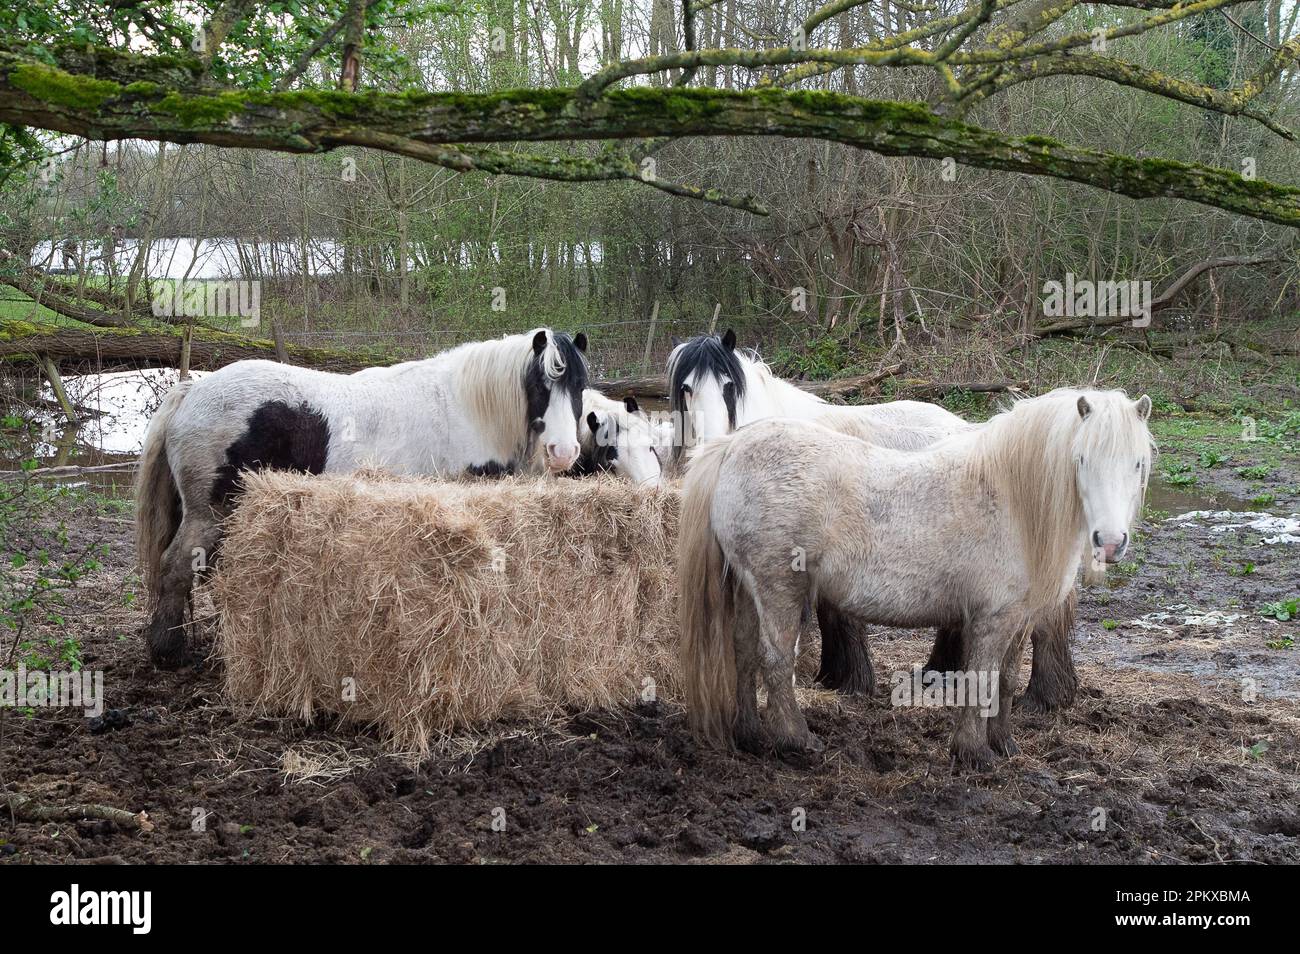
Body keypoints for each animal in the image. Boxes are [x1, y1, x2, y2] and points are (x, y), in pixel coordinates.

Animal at [136, 328, 588, 668]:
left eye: (580, 386)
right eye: (539, 385)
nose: (563, 452)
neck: (466, 409)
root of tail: (190, 393)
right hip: (207, 514)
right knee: (176, 567)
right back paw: (168, 650)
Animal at [666, 329, 1085, 713]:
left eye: (728, 387)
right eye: (686, 389)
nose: (708, 444)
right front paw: (840, 677)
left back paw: (1044, 695)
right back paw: (943, 673)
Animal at [678, 388, 1152, 768]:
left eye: (1137, 464)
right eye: (1082, 459)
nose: (1111, 542)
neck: (1011, 499)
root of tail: (732, 446)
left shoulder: (1016, 620)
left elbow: (1005, 680)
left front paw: (1004, 745)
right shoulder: (990, 619)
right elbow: (981, 678)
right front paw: (973, 753)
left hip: (748, 589)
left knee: (742, 652)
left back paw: (750, 735)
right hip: (779, 589)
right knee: (775, 661)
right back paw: (797, 741)